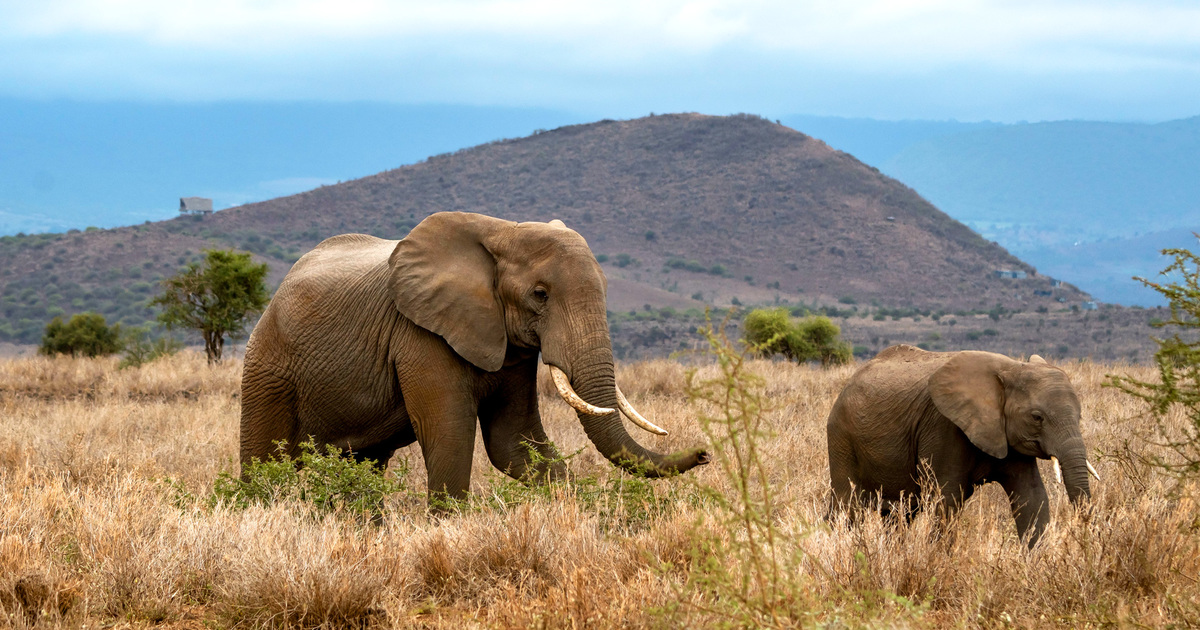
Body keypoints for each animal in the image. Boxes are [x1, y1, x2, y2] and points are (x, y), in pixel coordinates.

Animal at [239, 211, 708, 505]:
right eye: (540, 294)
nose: (704, 452)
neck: (502, 232)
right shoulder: (420, 334)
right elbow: (449, 433)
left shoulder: (510, 344)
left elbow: (513, 441)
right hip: (266, 367)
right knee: (263, 465)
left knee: (364, 464)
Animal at [826, 344, 1099, 545]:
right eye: (1037, 417)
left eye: (1079, 416)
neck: (1011, 367)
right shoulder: (943, 426)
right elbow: (947, 499)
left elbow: (1032, 496)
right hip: (842, 436)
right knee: (846, 507)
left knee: (898, 514)